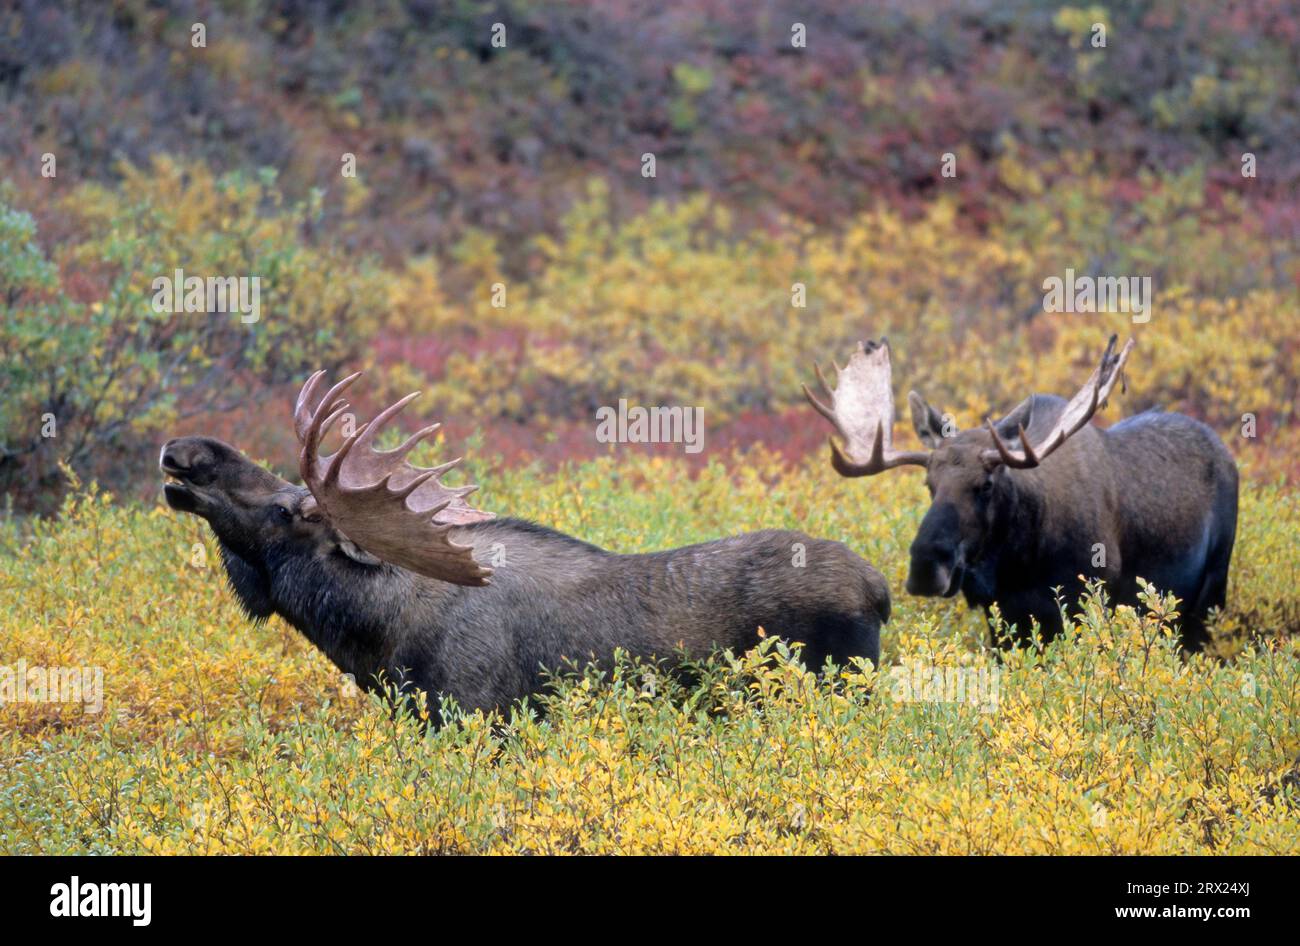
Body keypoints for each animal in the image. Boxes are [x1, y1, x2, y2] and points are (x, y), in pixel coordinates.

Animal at [804, 335, 1238, 650]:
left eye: (986, 484)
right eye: (929, 484)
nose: (926, 566)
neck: (1020, 561)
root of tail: (1225, 451)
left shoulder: (1090, 600)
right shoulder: (1002, 616)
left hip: (1212, 591)